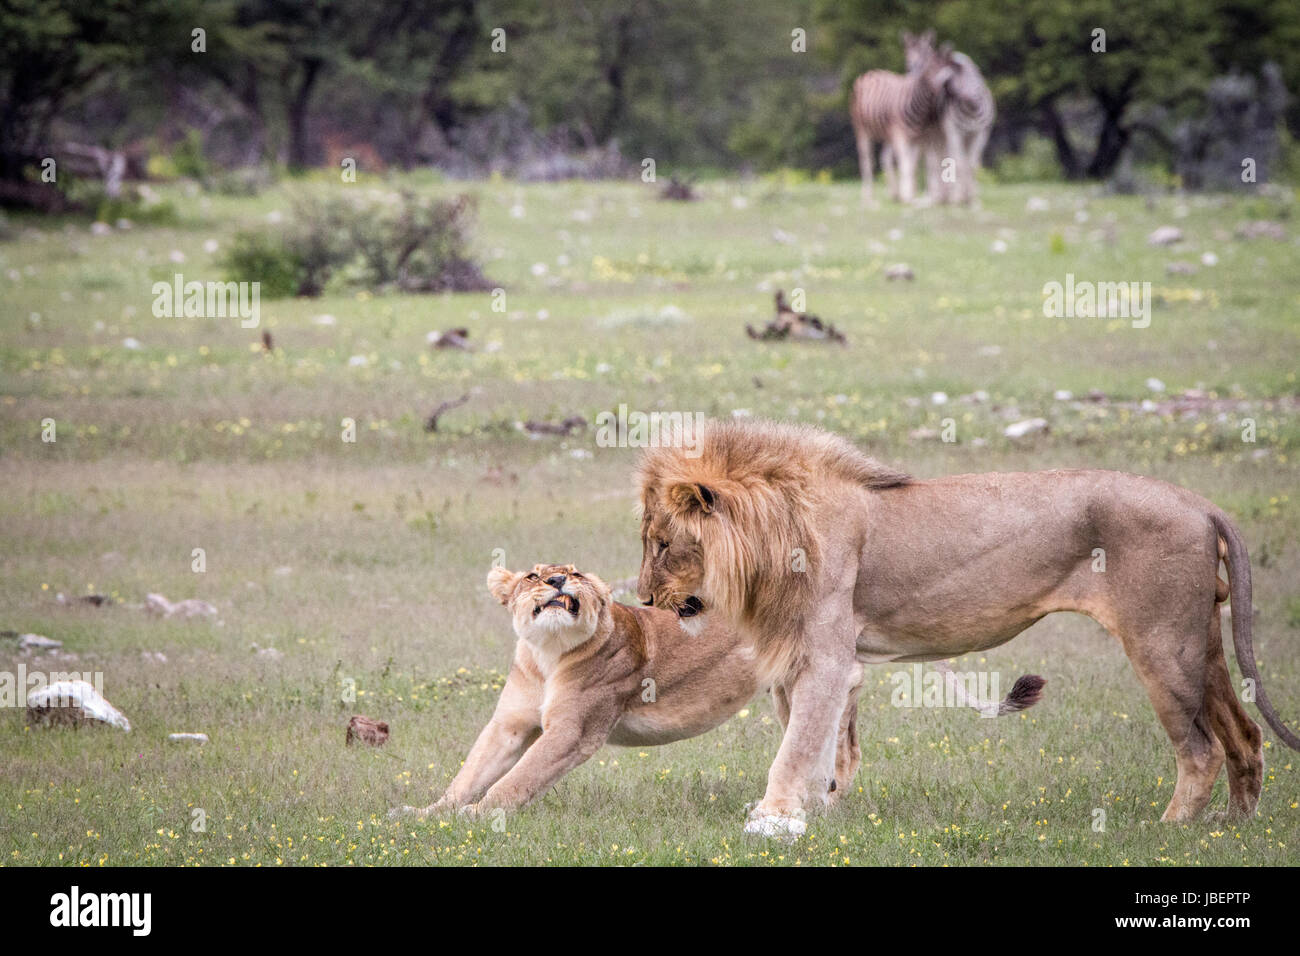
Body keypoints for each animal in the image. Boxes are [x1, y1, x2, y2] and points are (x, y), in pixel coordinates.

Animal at [637, 418, 1299, 837]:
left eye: (664, 544)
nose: (643, 597)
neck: (776, 538)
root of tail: (1199, 503)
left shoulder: (825, 658)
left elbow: (796, 747)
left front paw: (772, 818)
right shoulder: (821, 663)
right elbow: (824, 747)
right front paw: (815, 811)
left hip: (1160, 643)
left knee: (1201, 749)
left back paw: (1169, 832)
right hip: (1200, 642)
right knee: (1244, 736)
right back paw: (1232, 829)